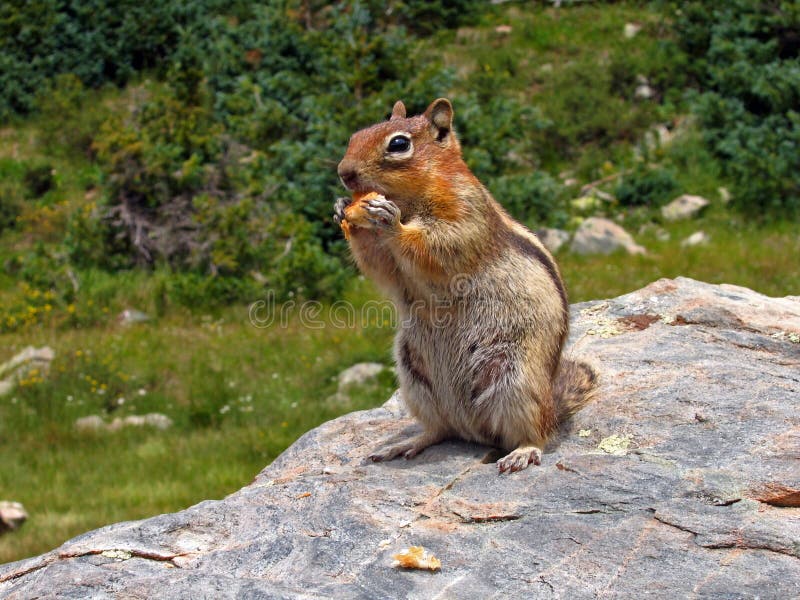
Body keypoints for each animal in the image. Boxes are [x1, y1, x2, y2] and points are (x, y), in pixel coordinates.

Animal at [334, 98, 597, 473]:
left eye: (398, 144)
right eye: (355, 135)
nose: (344, 173)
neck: (412, 197)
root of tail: (475, 432)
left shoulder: (464, 215)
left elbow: (437, 245)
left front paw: (390, 221)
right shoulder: (389, 266)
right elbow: (379, 265)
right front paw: (342, 208)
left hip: (516, 380)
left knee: (537, 431)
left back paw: (522, 451)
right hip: (414, 379)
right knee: (440, 429)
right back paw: (408, 443)